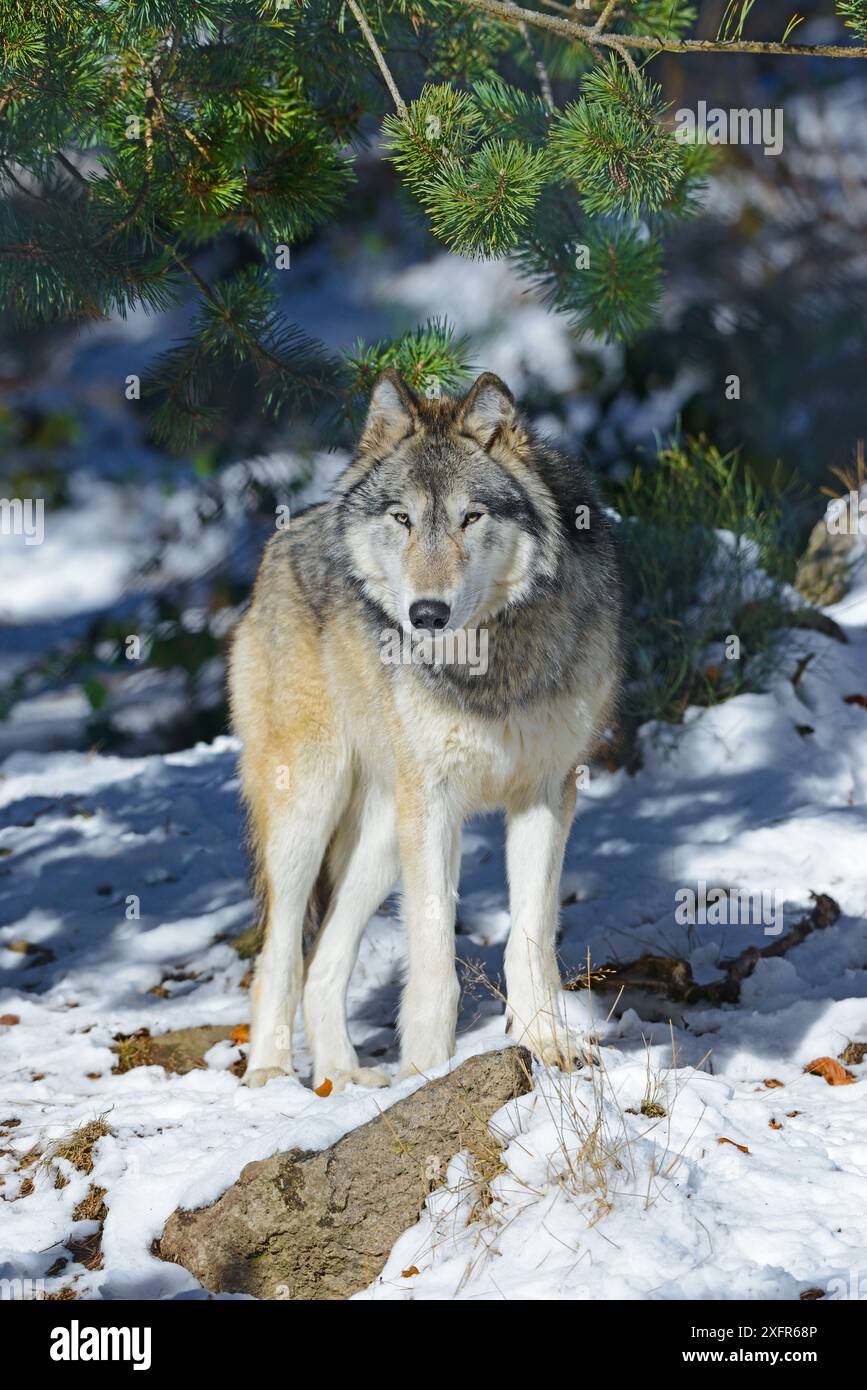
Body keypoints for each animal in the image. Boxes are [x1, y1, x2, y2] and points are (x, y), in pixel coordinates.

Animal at [229, 370, 622, 1089]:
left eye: (471, 517)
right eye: (402, 519)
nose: (427, 614)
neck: (489, 668)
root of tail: (285, 537)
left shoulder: (546, 795)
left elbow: (530, 939)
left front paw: (546, 1045)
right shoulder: (434, 804)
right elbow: (435, 952)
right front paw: (428, 1070)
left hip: (383, 834)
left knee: (323, 964)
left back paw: (342, 1081)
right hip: (310, 810)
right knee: (279, 954)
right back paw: (270, 1075)